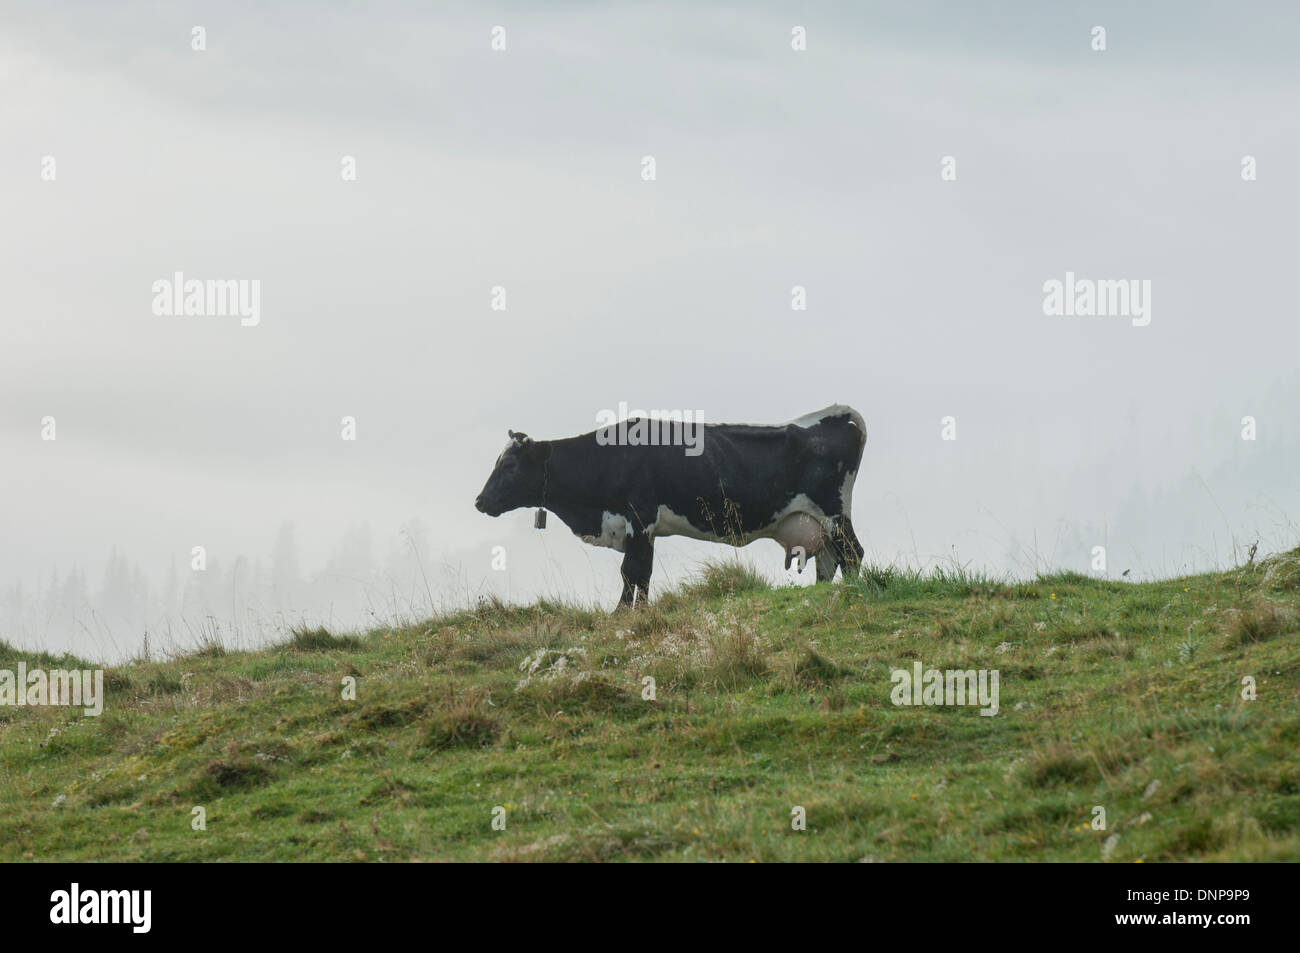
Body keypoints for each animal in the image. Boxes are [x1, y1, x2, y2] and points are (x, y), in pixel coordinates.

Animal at [474, 405, 867, 606]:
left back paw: (851, 592)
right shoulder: (639, 528)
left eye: (509, 466)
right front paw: (637, 611)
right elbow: (640, 572)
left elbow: (632, 571)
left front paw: (624, 612)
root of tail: (841, 412)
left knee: (852, 554)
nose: (479, 501)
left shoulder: (640, 520)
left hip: (835, 513)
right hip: (816, 521)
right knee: (829, 561)